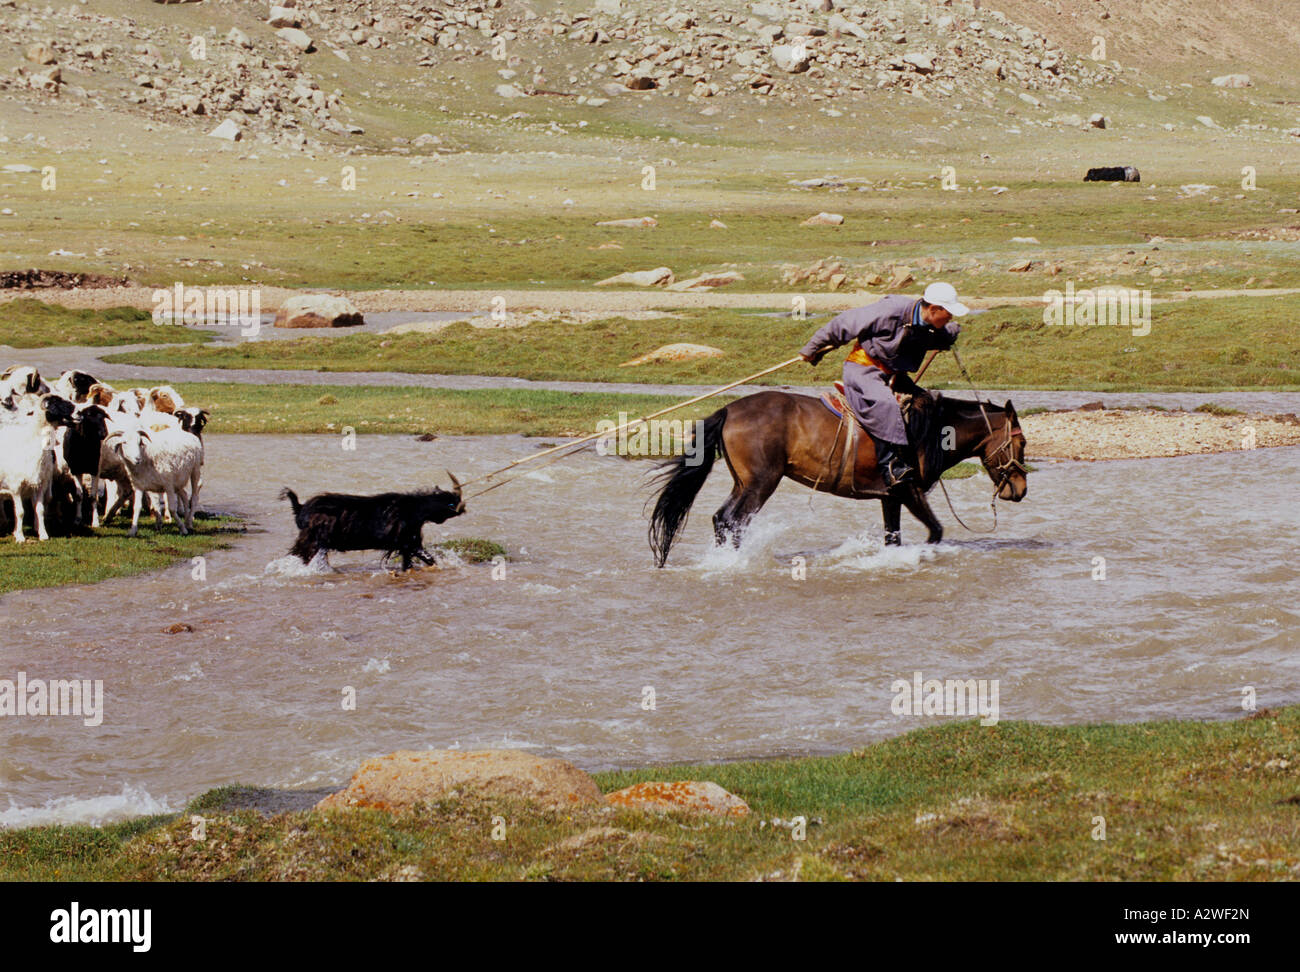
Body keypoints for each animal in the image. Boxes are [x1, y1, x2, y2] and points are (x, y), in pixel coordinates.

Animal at [0, 393, 76, 542]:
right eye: (55, 402)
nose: (75, 407)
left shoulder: (40, 485)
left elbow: (39, 510)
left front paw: (43, 534)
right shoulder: (16, 486)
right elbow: (20, 512)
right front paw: (20, 536)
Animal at [280, 476, 466, 571]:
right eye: (452, 502)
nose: (463, 509)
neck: (413, 509)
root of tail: (300, 507)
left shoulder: (409, 545)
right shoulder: (407, 543)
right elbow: (425, 559)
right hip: (310, 542)